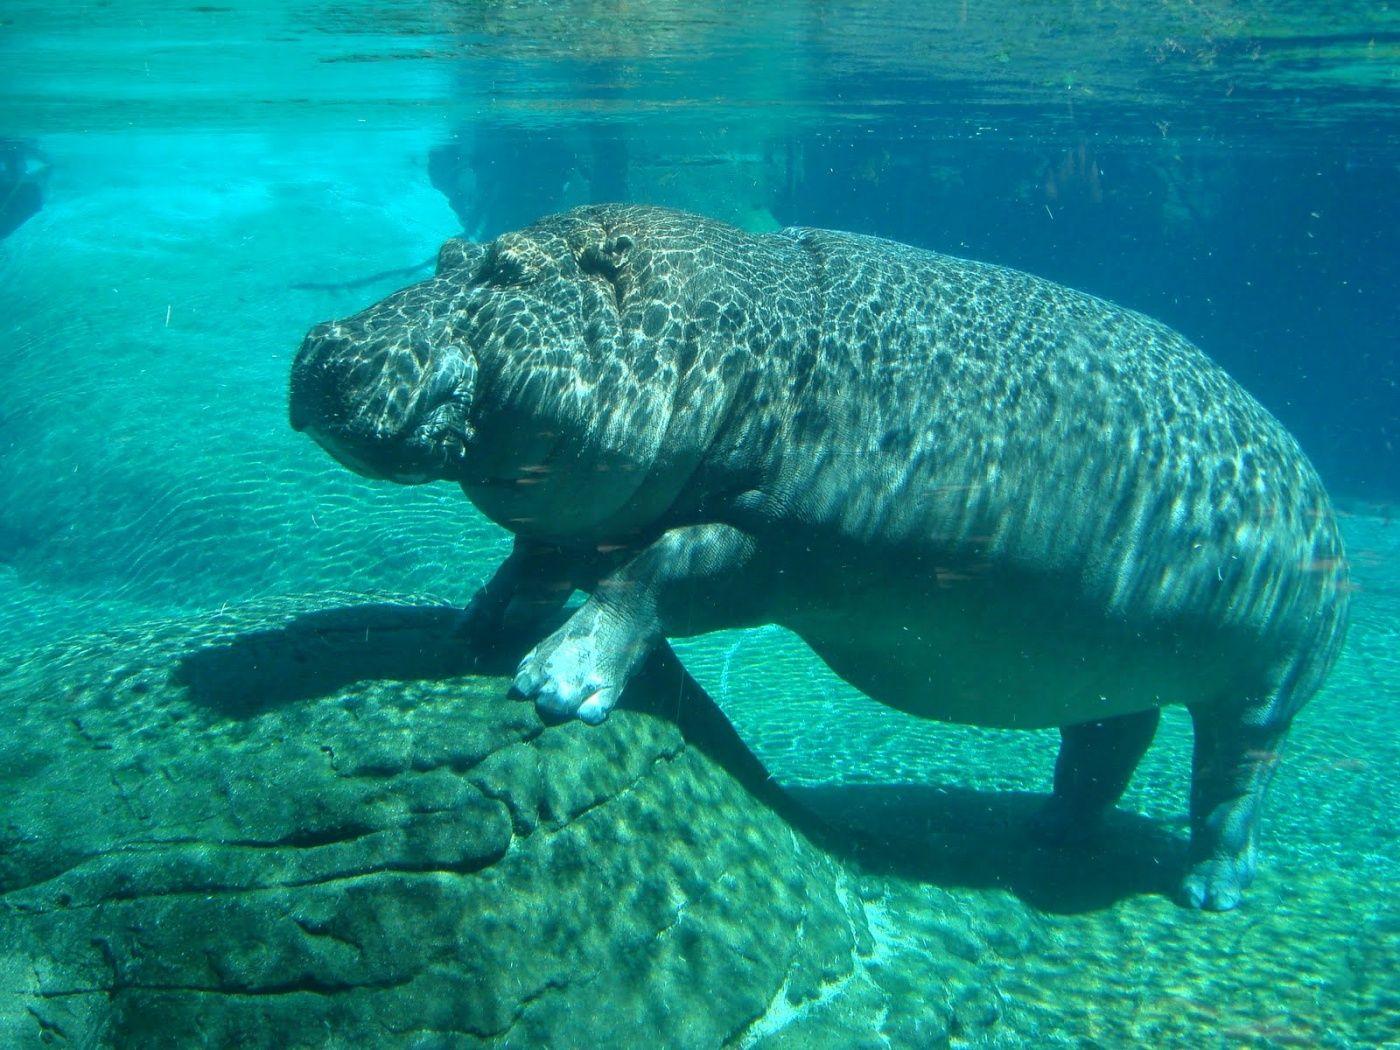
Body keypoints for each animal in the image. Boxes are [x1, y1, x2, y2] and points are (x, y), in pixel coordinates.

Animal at [289, 204, 1349, 910]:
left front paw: (554, 683)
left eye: (511, 270)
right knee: (1109, 737)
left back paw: (1212, 890)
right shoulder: (588, 515)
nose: (321, 343)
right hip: (1107, 655)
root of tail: (1318, 486)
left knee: (1231, 781)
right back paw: (1049, 833)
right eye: (450, 251)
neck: (715, 335)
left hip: (1266, 683)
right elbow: (535, 560)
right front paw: (472, 628)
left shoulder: (777, 548)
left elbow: (647, 575)